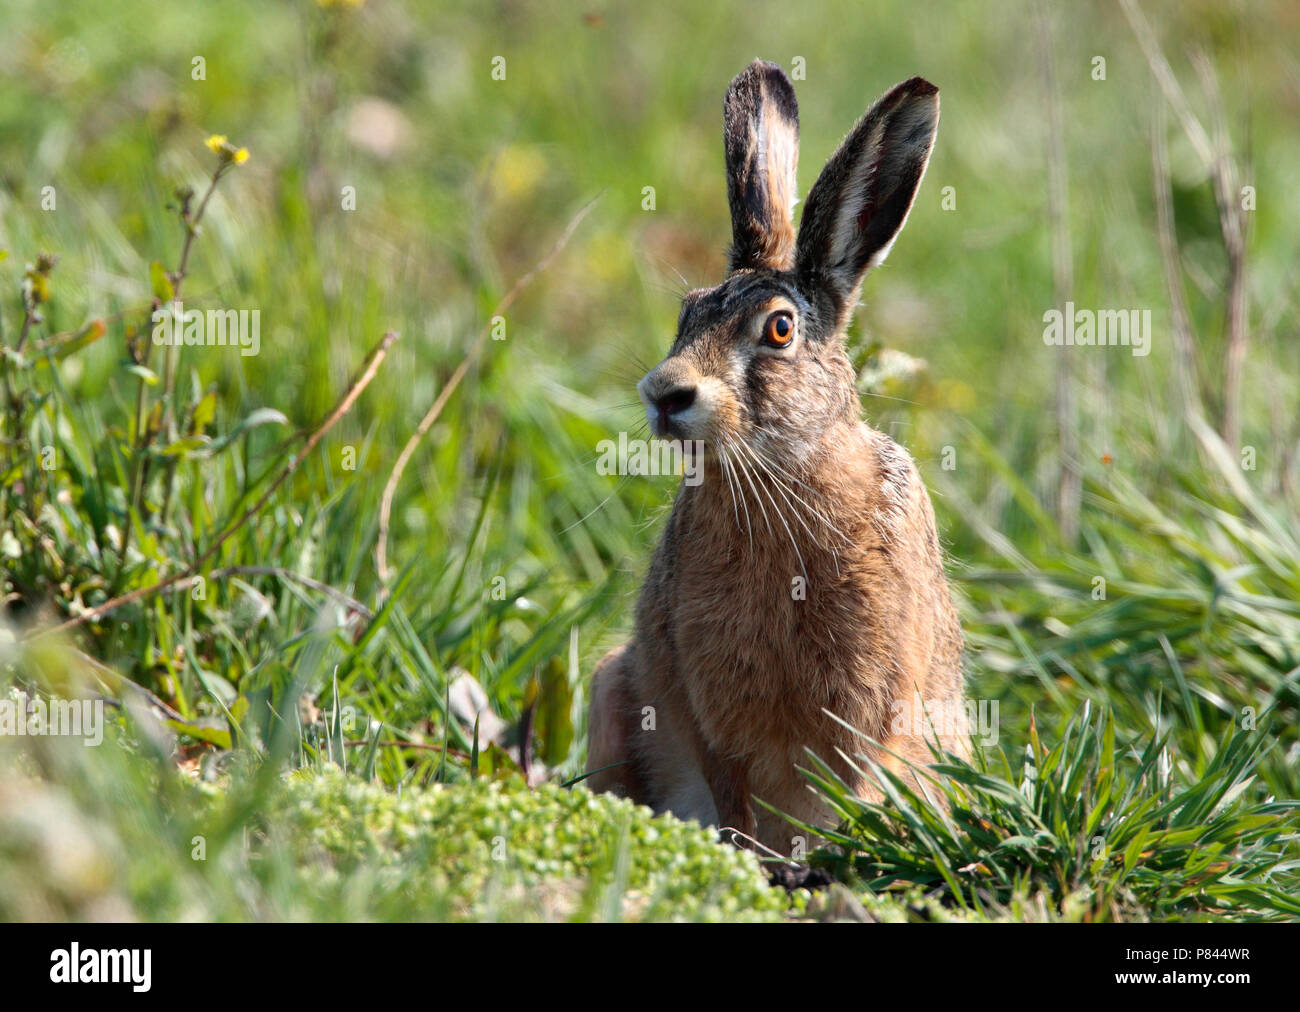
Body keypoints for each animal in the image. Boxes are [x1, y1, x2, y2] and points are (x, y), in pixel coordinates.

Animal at [585, 59, 967, 855]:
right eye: (687, 313)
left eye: (781, 330)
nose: (664, 393)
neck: (777, 476)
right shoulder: (706, 705)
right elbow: (730, 789)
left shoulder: (874, 699)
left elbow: (853, 782)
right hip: (611, 691)